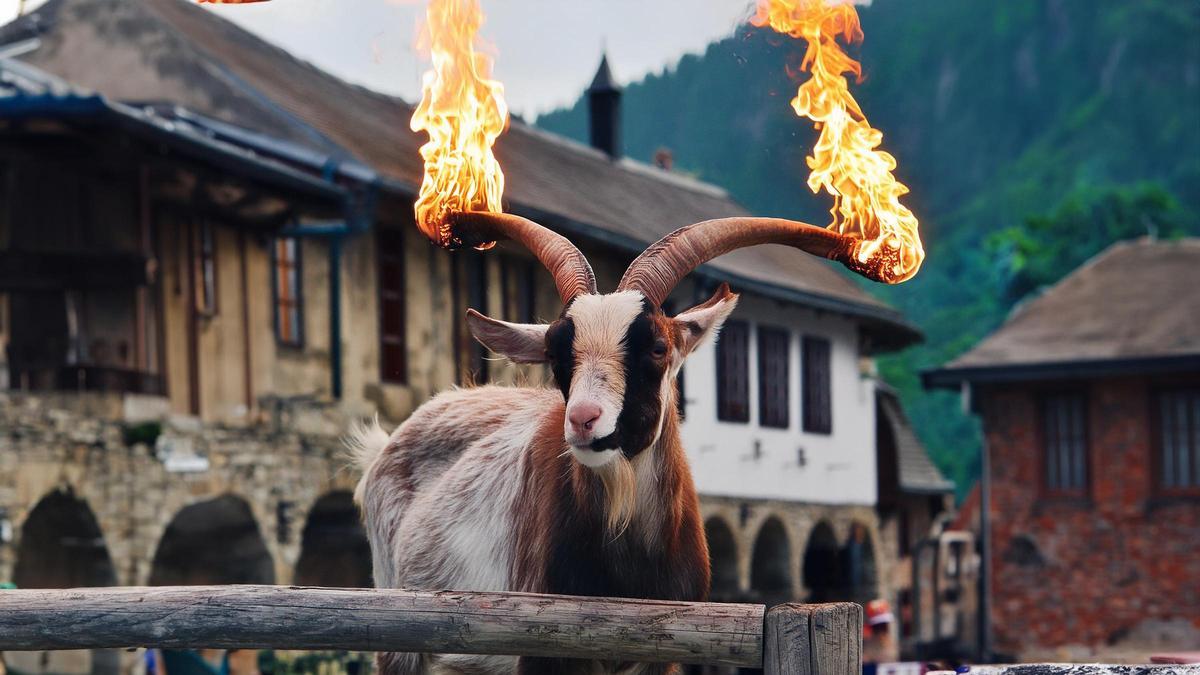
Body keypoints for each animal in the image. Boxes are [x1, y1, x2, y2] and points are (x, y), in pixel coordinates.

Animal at [353, 212, 869, 675]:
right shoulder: (539, 649)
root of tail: (384, 448)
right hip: (401, 640)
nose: (583, 420)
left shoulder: (660, 654)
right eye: (557, 353)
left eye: (657, 348)